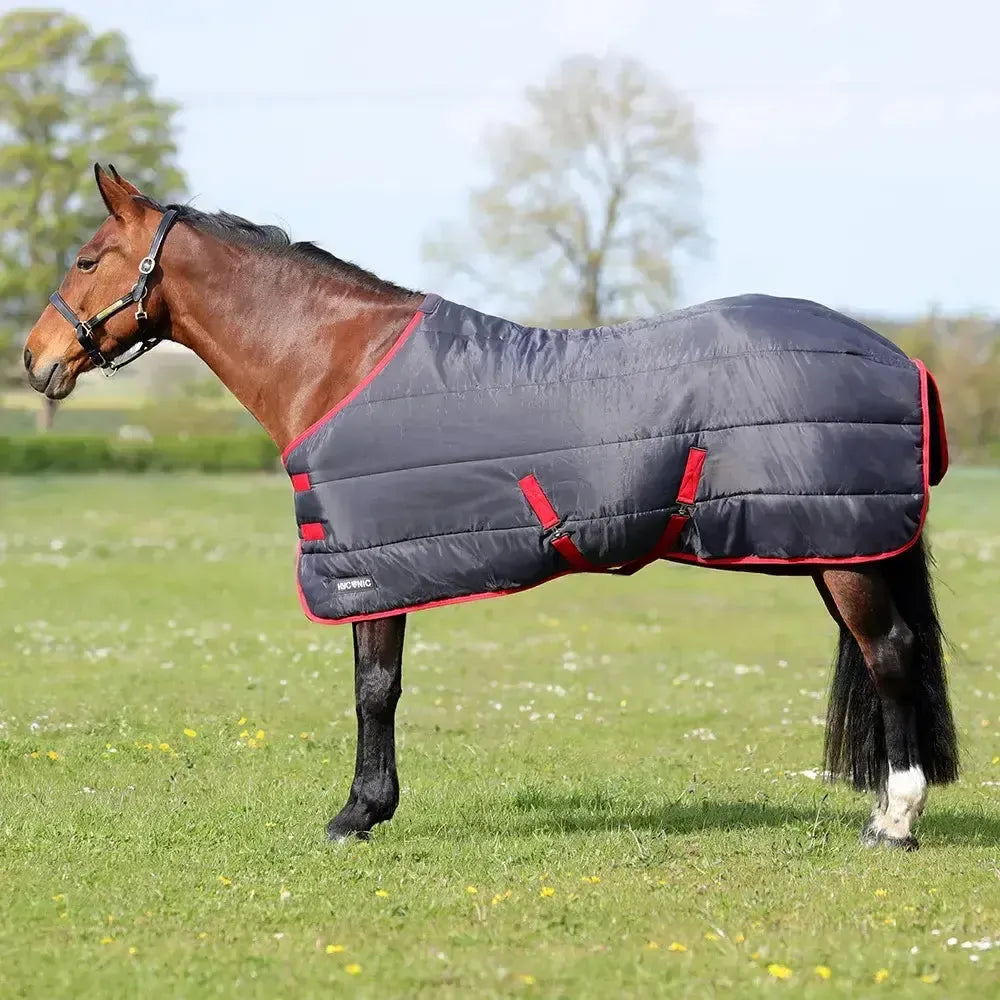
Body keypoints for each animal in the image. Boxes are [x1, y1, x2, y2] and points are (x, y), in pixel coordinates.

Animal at [23, 165, 958, 849]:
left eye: (87, 258)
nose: (34, 358)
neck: (339, 361)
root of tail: (893, 354)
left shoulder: (371, 570)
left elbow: (374, 689)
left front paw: (358, 813)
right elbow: (379, 688)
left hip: (844, 551)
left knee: (890, 655)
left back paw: (895, 821)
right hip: (836, 545)